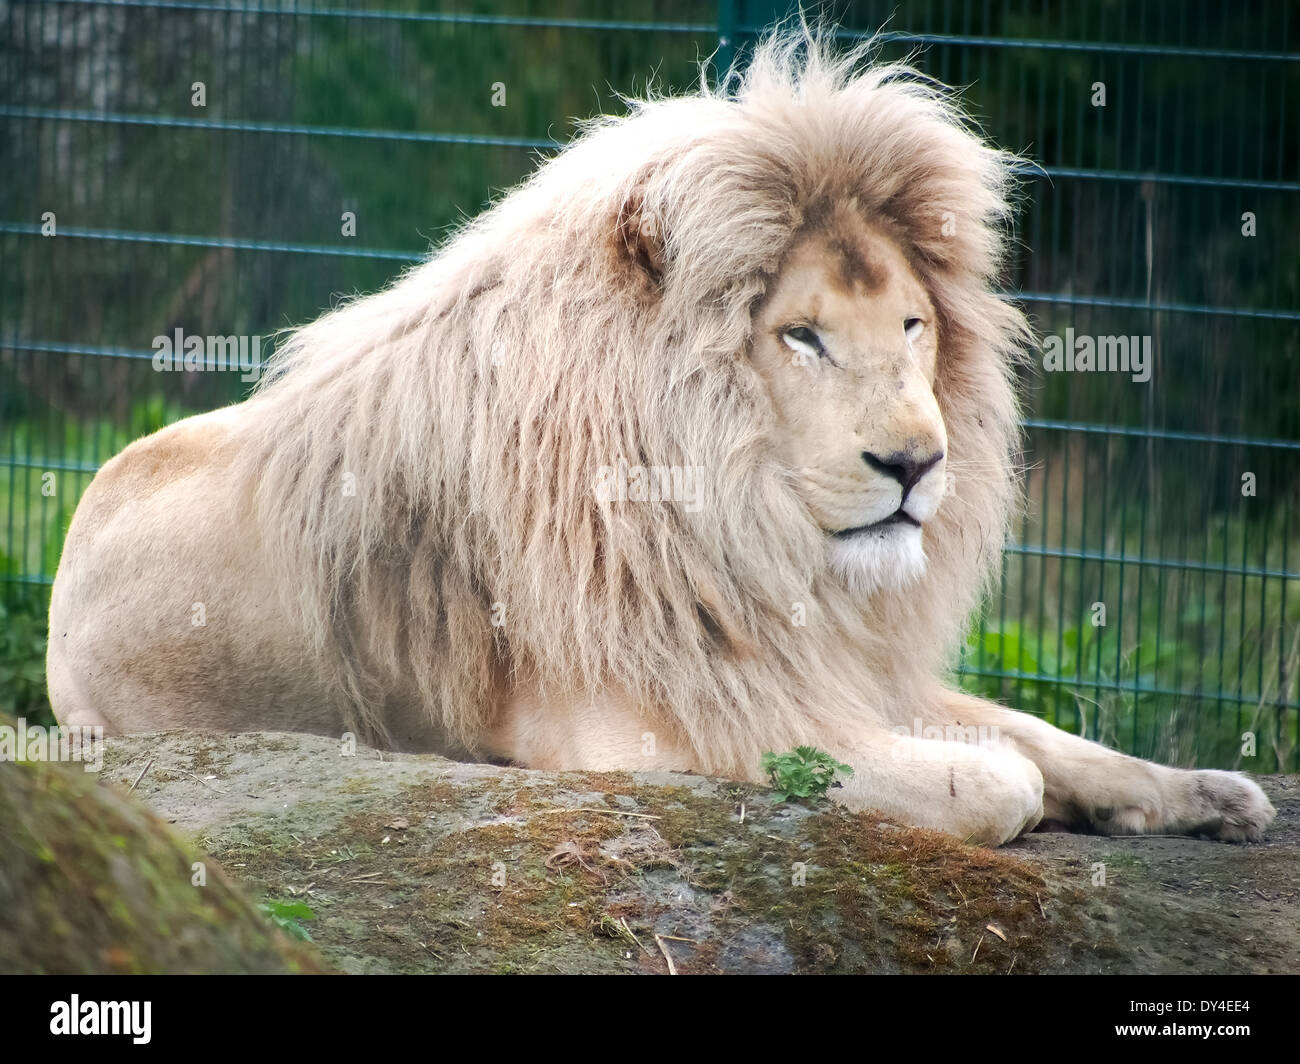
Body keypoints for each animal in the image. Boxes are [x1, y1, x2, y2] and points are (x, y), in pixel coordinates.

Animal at [47, 32, 1274, 847]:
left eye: (913, 326)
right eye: (801, 336)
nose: (917, 465)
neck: (749, 528)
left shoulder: (819, 656)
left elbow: (1036, 731)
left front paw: (1202, 790)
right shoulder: (648, 720)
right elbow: (997, 778)